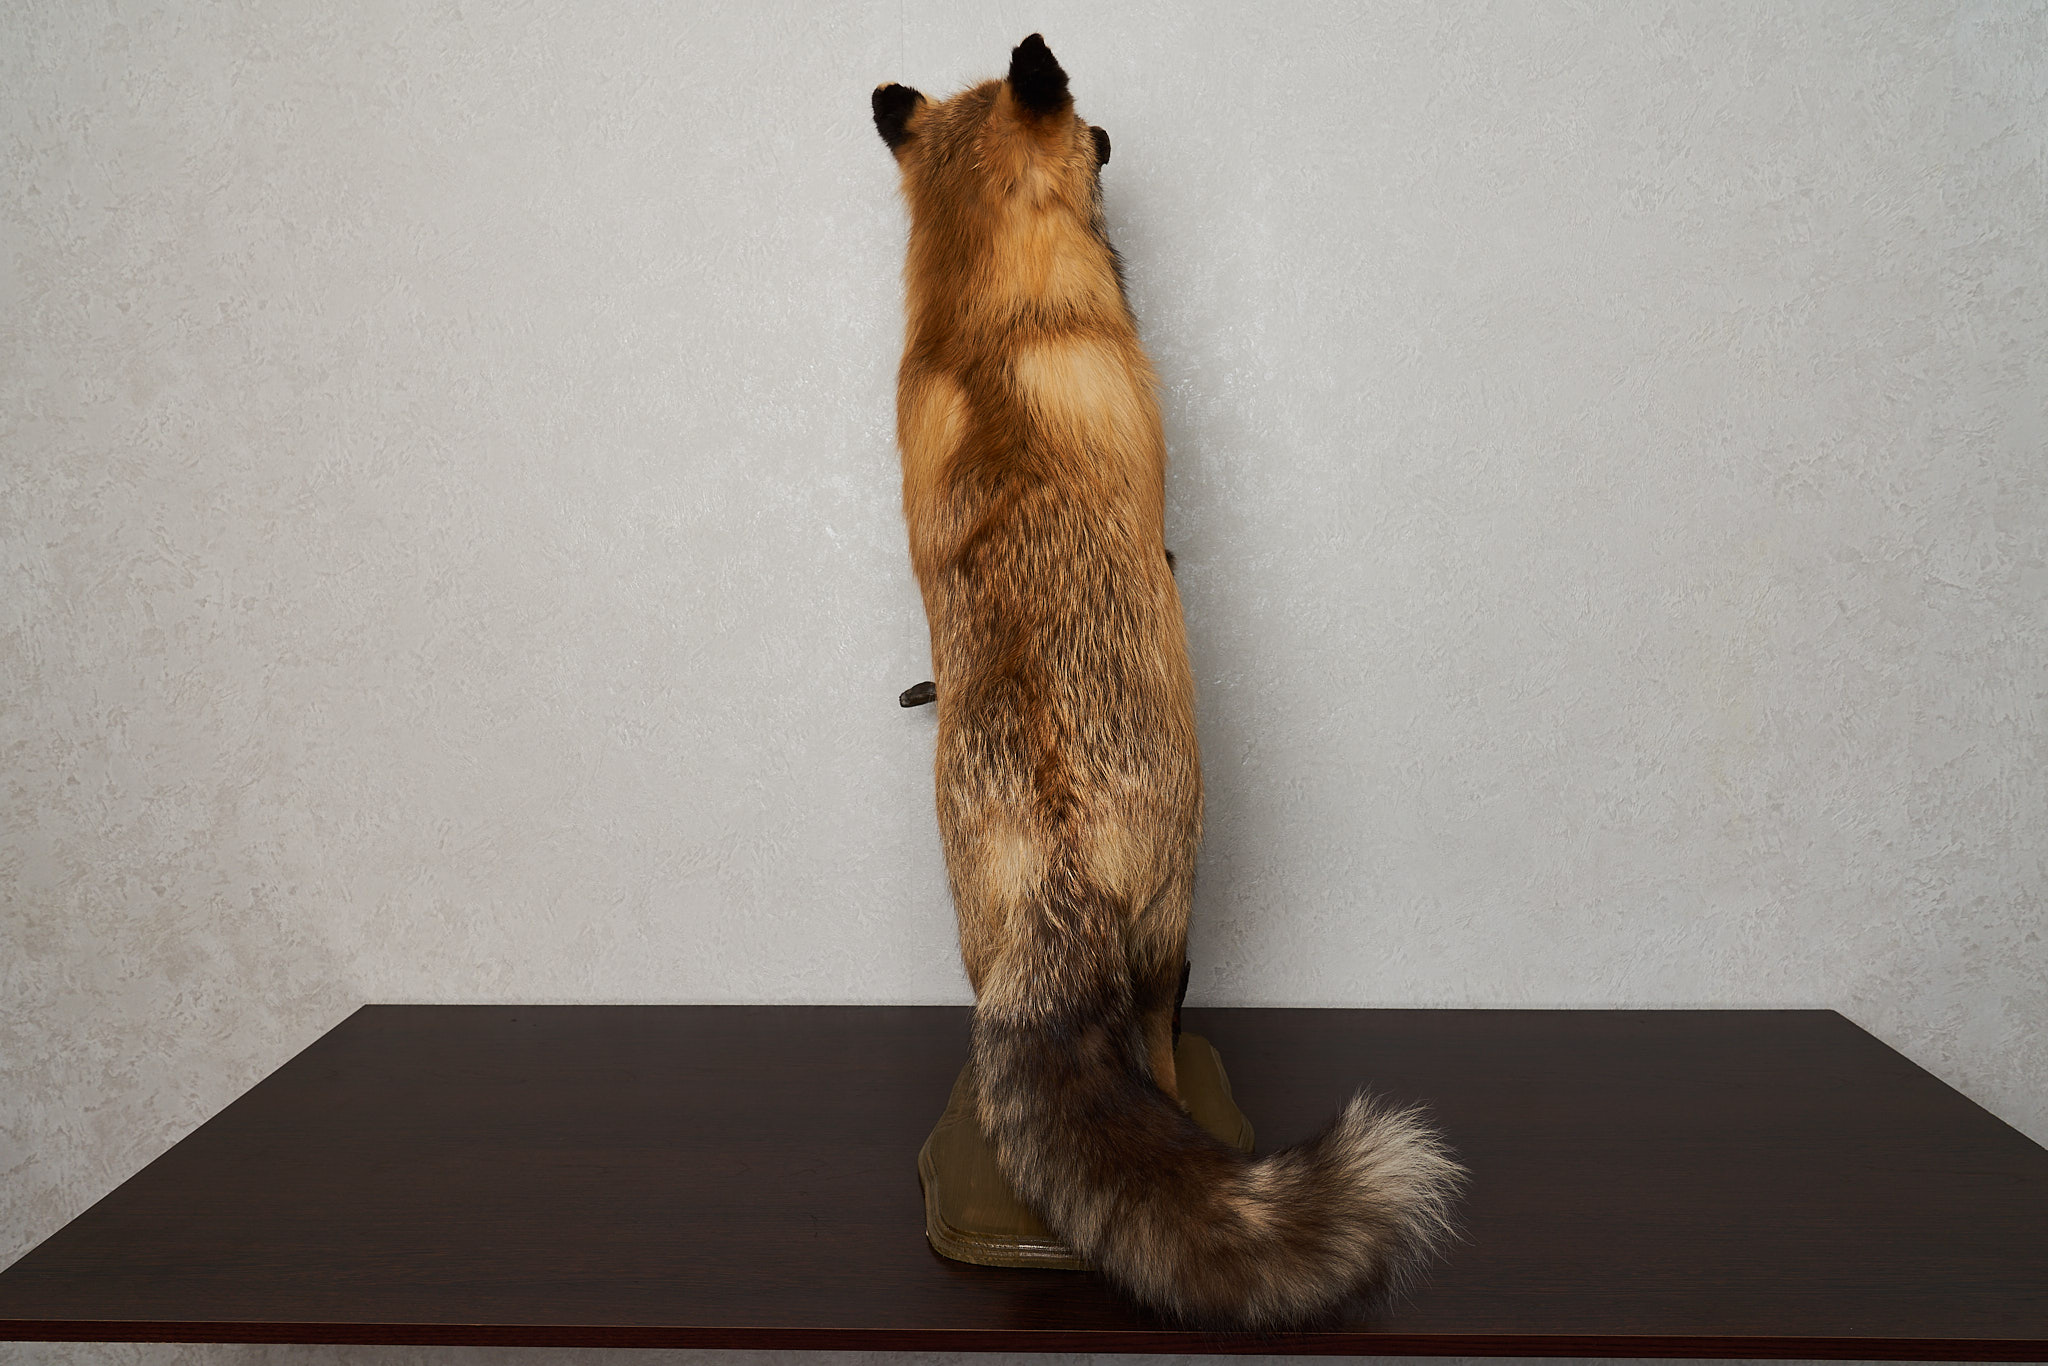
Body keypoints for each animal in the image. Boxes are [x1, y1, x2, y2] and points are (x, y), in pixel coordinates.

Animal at [872, 35, 1463, 1326]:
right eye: (1087, 127)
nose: (1105, 138)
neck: (986, 328)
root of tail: (1055, 872)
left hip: (973, 947)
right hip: (1176, 913)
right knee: (1154, 1034)